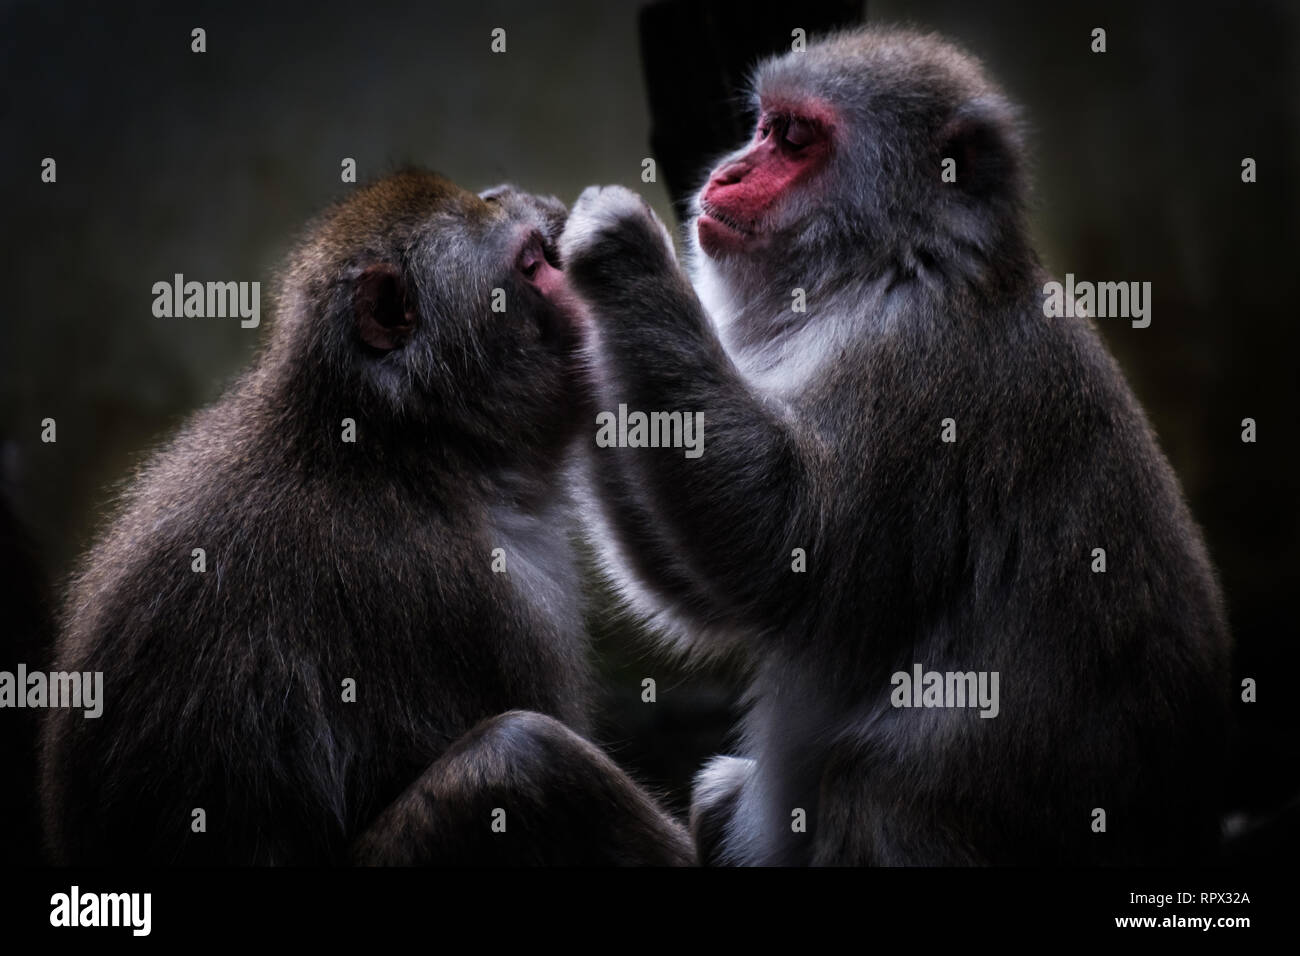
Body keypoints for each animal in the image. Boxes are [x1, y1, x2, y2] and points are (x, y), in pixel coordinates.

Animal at [557, 28, 1232, 865]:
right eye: (764, 127)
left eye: (794, 139)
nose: (728, 171)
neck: (890, 264)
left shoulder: (915, 369)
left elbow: (785, 550)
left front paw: (619, 249)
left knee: (866, 793)